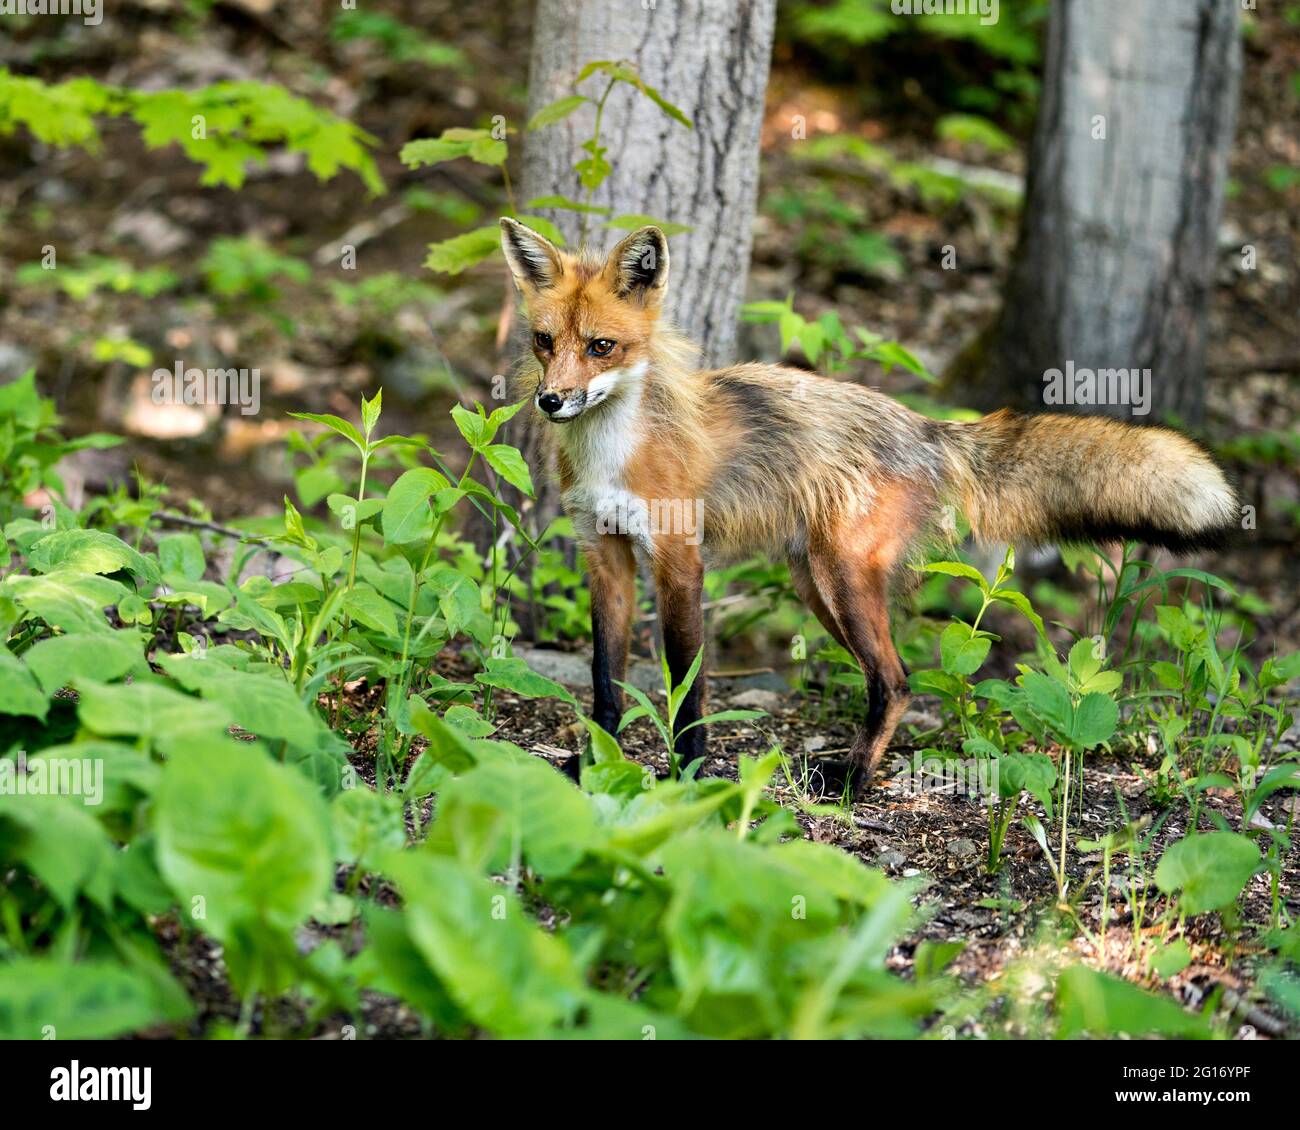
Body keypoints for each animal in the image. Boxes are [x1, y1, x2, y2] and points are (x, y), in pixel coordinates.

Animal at [499, 216, 1238, 791]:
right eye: (544, 341)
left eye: (602, 347)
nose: (552, 401)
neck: (613, 452)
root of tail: (925, 428)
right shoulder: (604, 552)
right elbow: (605, 679)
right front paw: (594, 762)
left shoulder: (679, 560)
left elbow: (689, 689)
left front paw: (686, 775)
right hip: (817, 582)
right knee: (887, 678)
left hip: (844, 575)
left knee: (898, 679)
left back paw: (853, 780)